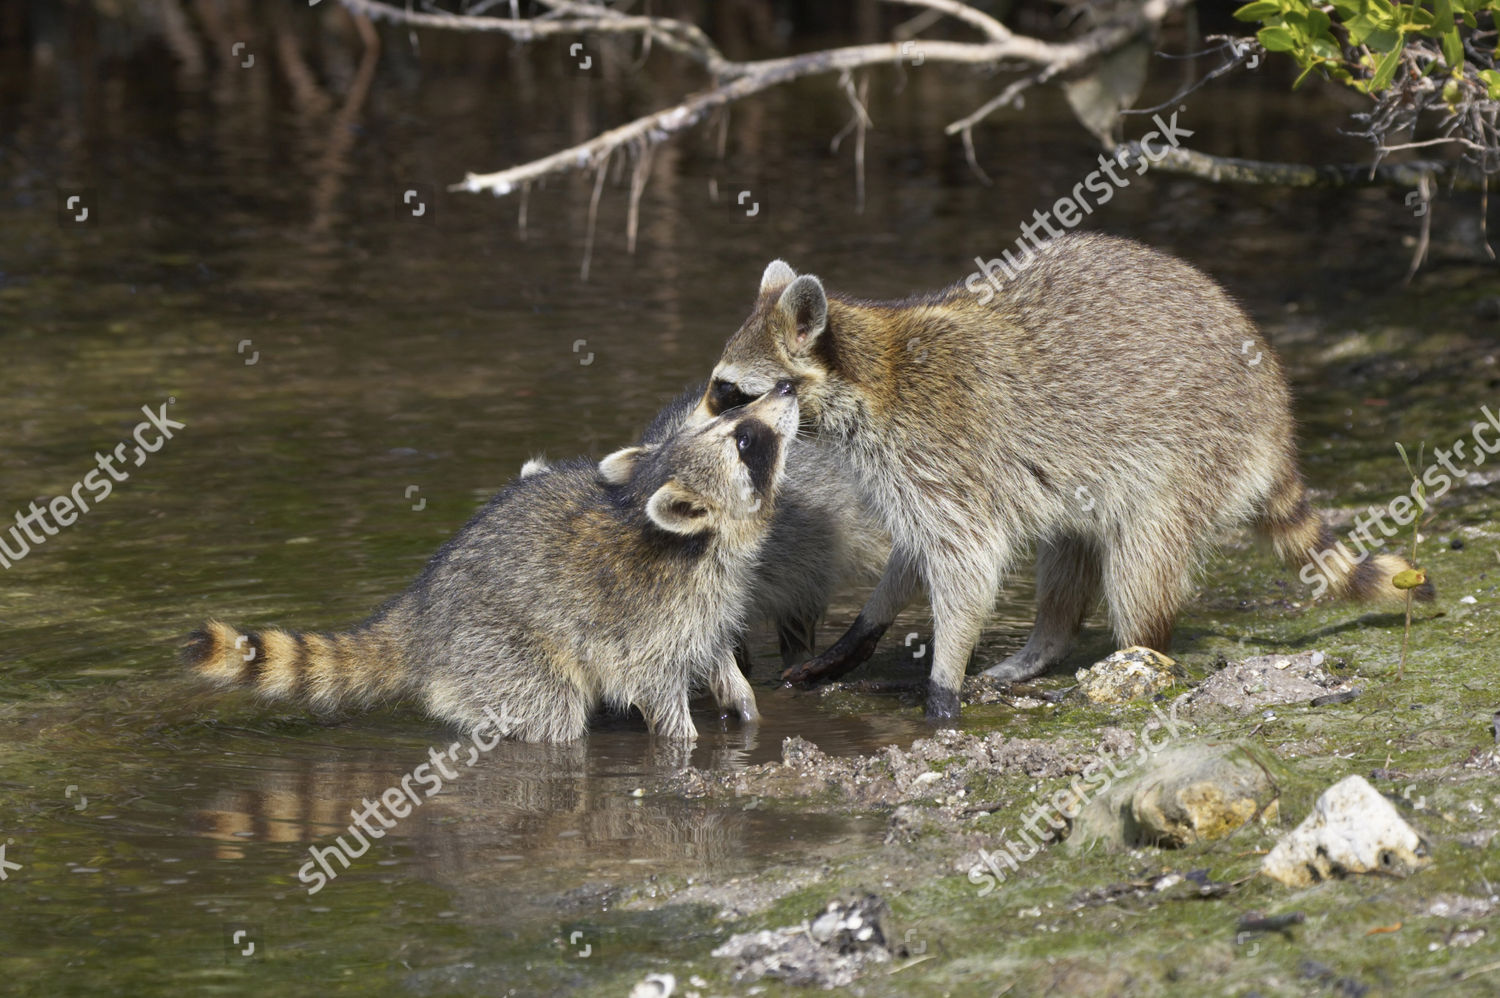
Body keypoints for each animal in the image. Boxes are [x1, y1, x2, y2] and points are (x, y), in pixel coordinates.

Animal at [184, 386, 801, 742]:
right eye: (745, 440)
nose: (786, 386)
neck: (706, 542)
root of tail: (420, 608)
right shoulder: (655, 618)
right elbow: (657, 690)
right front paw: (685, 743)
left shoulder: (711, 603)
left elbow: (717, 657)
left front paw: (746, 706)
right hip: (496, 649)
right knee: (552, 716)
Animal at [697, 233, 1435, 720]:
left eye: (728, 392)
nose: (678, 441)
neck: (872, 373)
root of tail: (1274, 408)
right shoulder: (912, 470)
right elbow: (918, 550)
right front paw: (866, 627)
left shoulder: (941, 450)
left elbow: (968, 560)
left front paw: (944, 676)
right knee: (1070, 546)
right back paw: (1046, 643)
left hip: (1194, 450)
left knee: (1141, 562)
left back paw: (1137, 657)